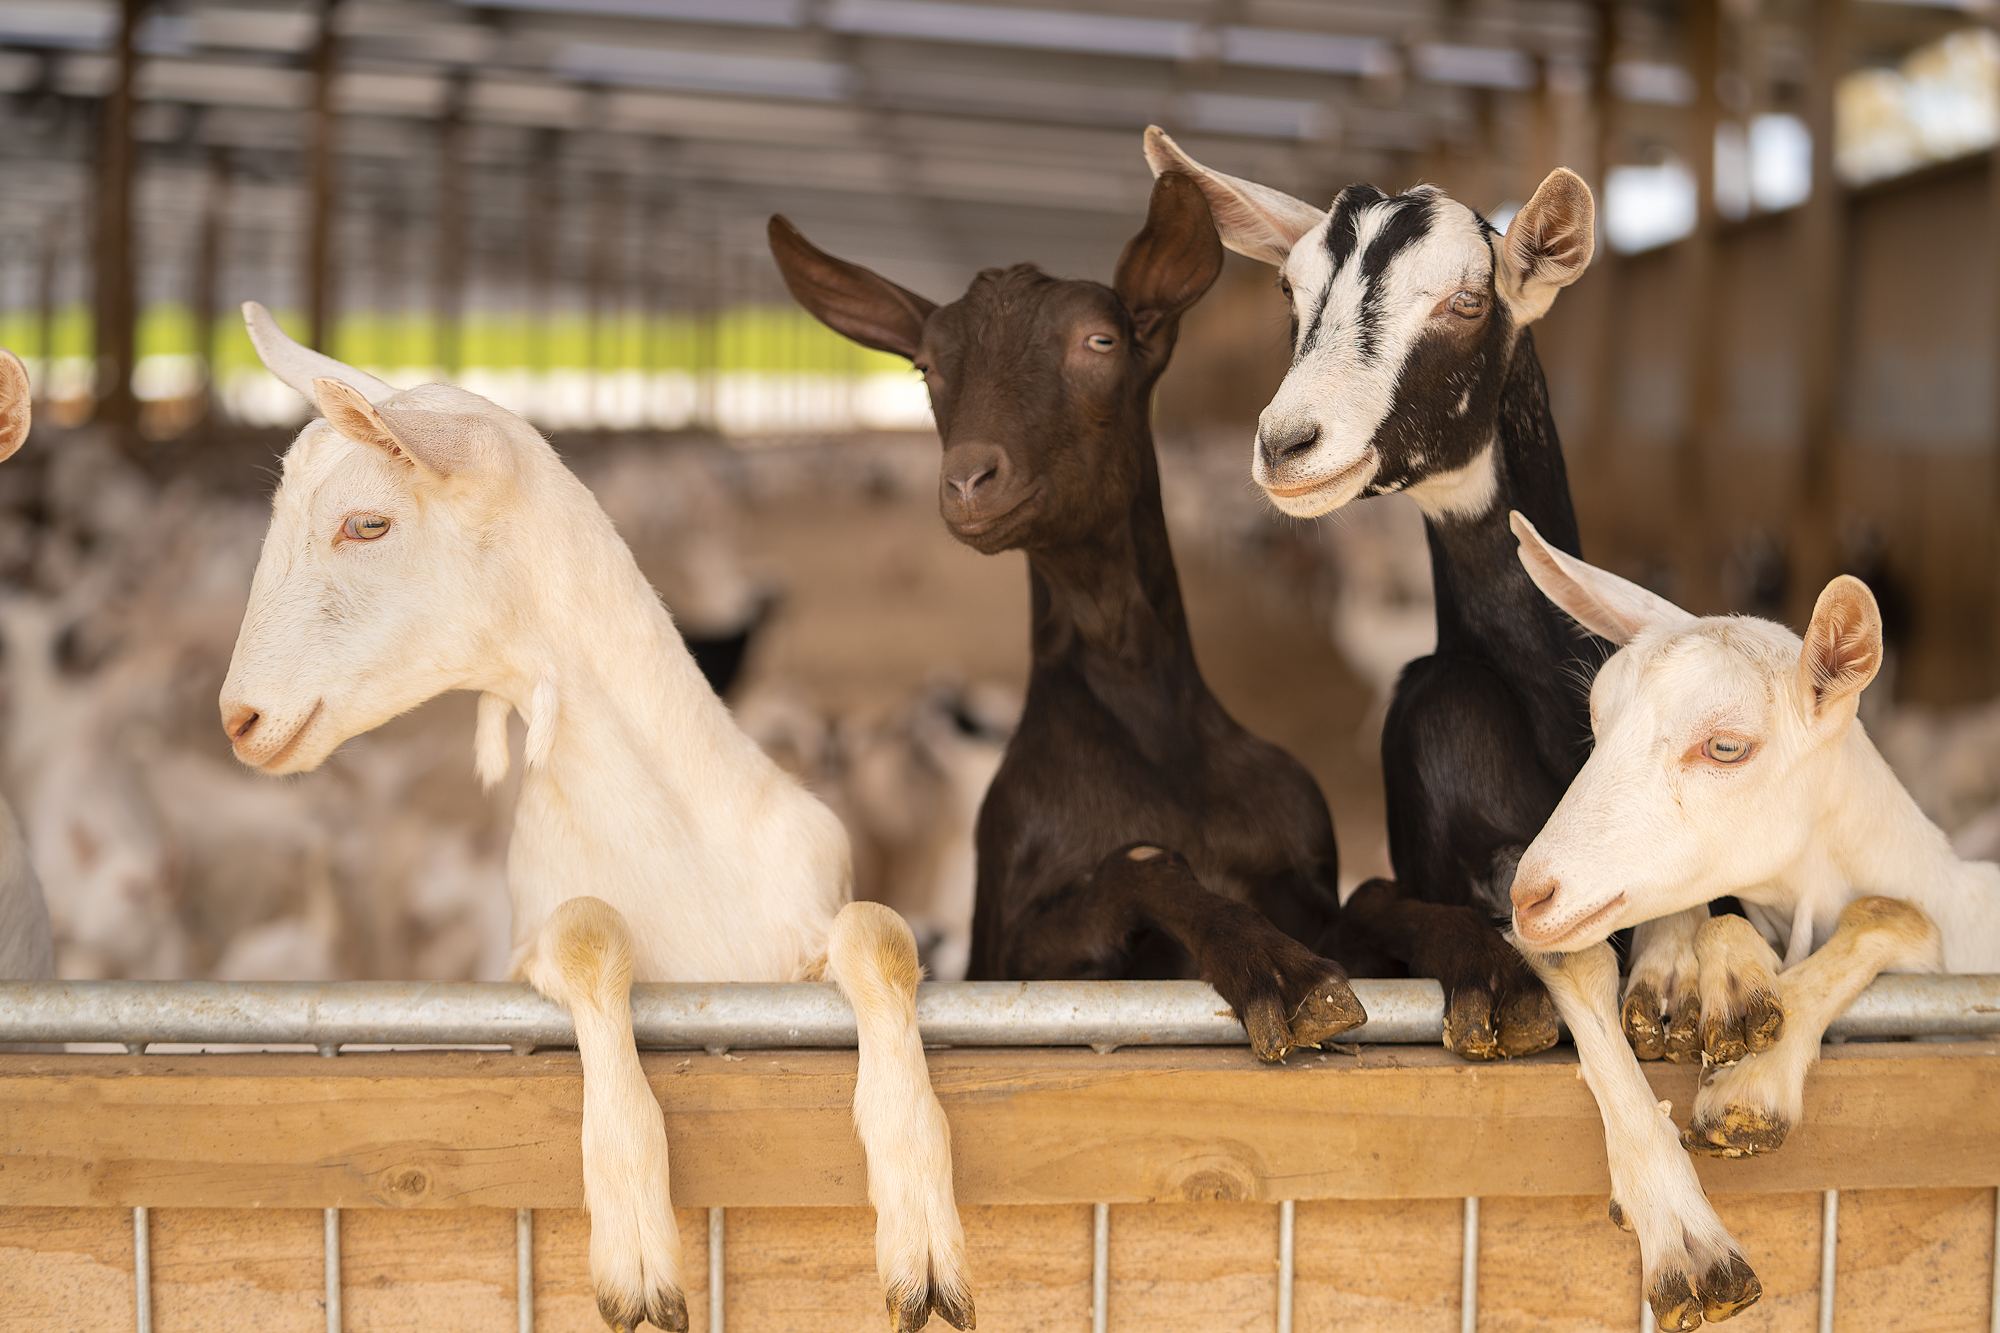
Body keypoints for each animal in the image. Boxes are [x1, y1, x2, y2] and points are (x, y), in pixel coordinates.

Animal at [218, 307, 971, 1333]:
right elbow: (586, 929)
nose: (238, 716)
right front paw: (638, 1255)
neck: (673, 845)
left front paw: (924, 1241)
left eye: (367, 523)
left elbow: (880, 933)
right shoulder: (523, 953)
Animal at [768, 170, 1365, 1061]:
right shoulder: (1006, 956)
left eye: (1101, 341)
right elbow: (1140, 861)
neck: (1152, 723)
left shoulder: (1315, 868)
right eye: (926, 367)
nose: (968, 479)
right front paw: (1284, 974)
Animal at [1507, 512, 1993, 1328]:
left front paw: (1750, 1075)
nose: (1530, 896)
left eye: (1727, 746)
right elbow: (1582, 964)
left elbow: (1888, 911)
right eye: (1596, 721)